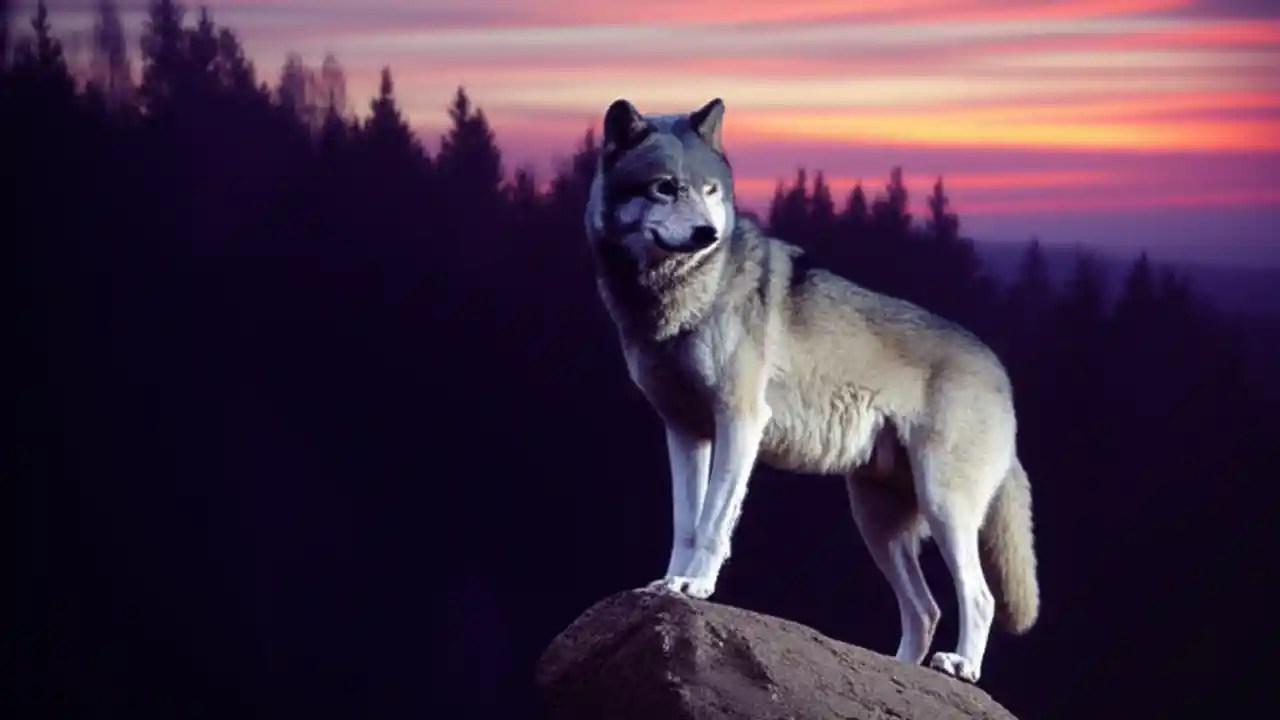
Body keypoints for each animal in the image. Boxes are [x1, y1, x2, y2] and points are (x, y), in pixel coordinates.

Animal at [582, 97, 1039, 683]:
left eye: (710, 191)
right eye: (666, 187)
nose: (707, 234)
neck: (679, 297)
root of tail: (1001, 374)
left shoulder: (740, 422)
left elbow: (713, 523)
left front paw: (696, 586)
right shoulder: (685, 432)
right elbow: (686, 523)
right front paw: (668, 584)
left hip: (945, 508)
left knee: (978, 598)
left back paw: (959, 666)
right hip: (876, 523)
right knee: (926, 609)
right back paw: (896, 670)